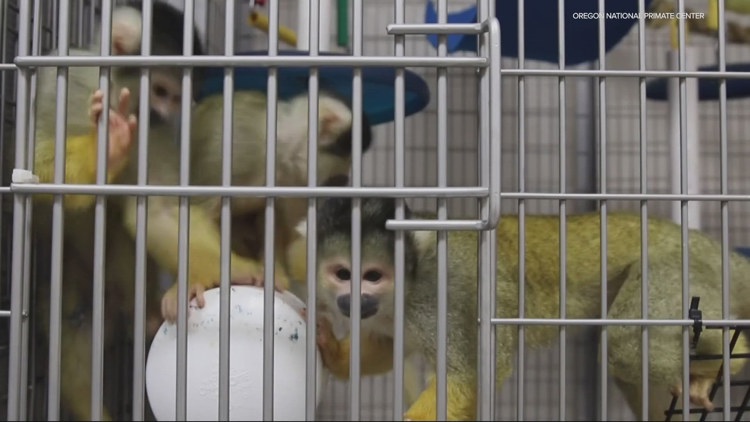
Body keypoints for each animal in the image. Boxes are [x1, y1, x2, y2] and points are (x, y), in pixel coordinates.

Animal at [309, 196, 750, 421]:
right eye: (343, 274)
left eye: (373, 276)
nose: (353, 299)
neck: (408, 284)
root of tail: (713, 247)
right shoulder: (388, 315)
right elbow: (383, 348)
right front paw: (332, 350)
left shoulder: (445, 293)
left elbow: (469, 376)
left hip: (677, 268)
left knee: (627, 344)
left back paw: (723, 364)